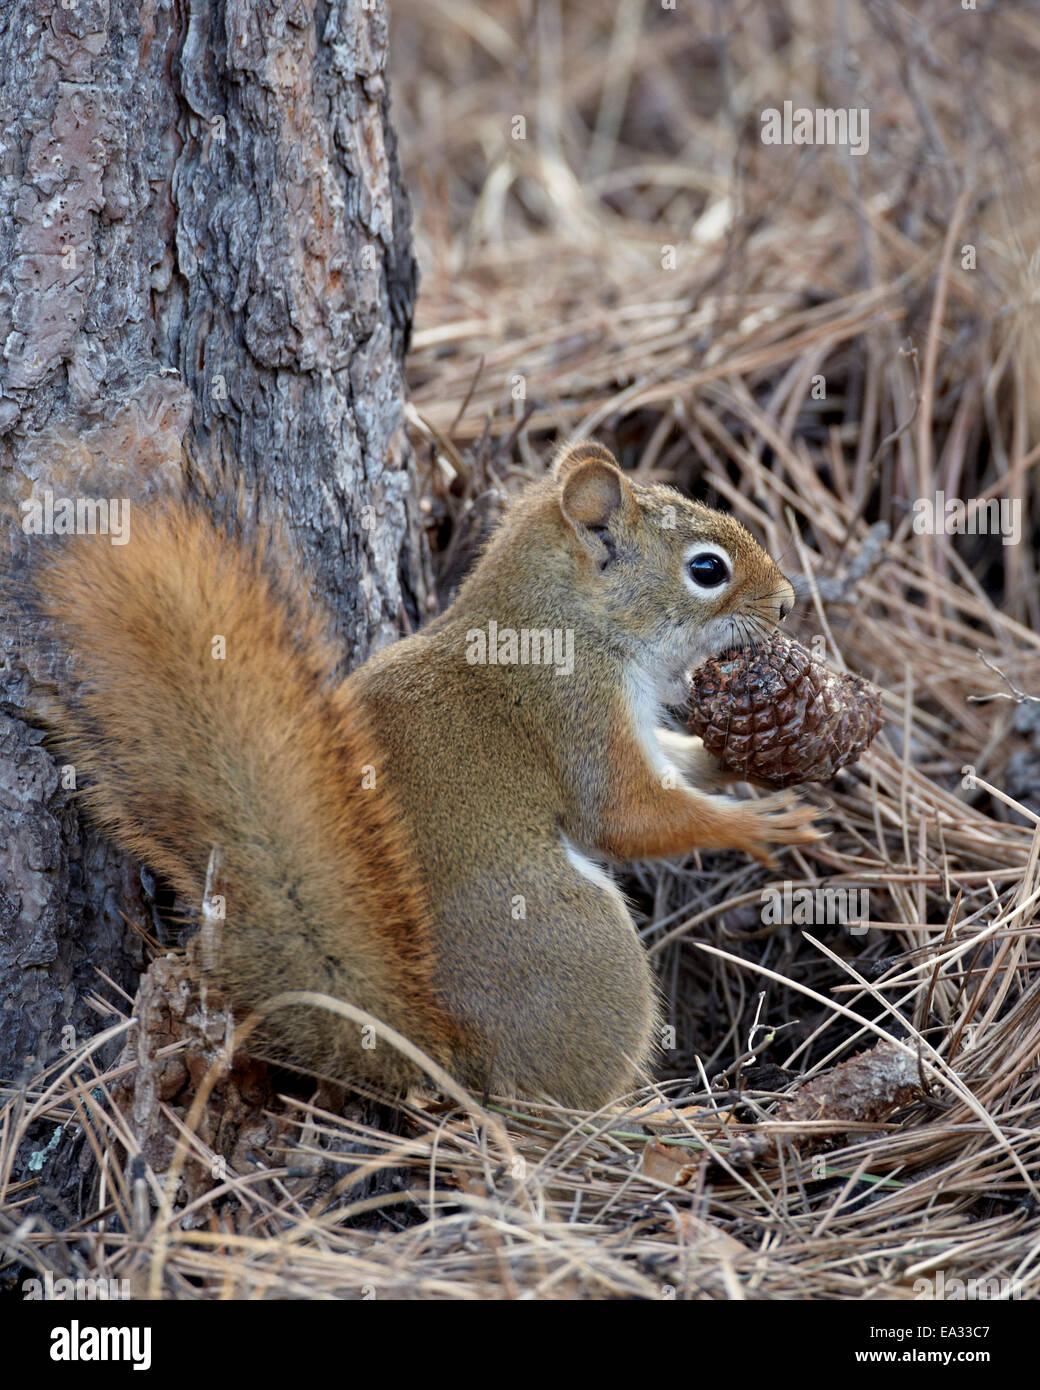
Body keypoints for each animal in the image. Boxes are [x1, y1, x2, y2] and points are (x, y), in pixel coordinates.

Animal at [26, 440, 819, 1110]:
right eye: (707, 569)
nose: (787, 603)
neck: (563, 620)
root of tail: (437, 1049)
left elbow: (675, 767)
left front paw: (745, 760)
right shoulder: (577, 715)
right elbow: (628, 816)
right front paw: (757, 825)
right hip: (587, 952)